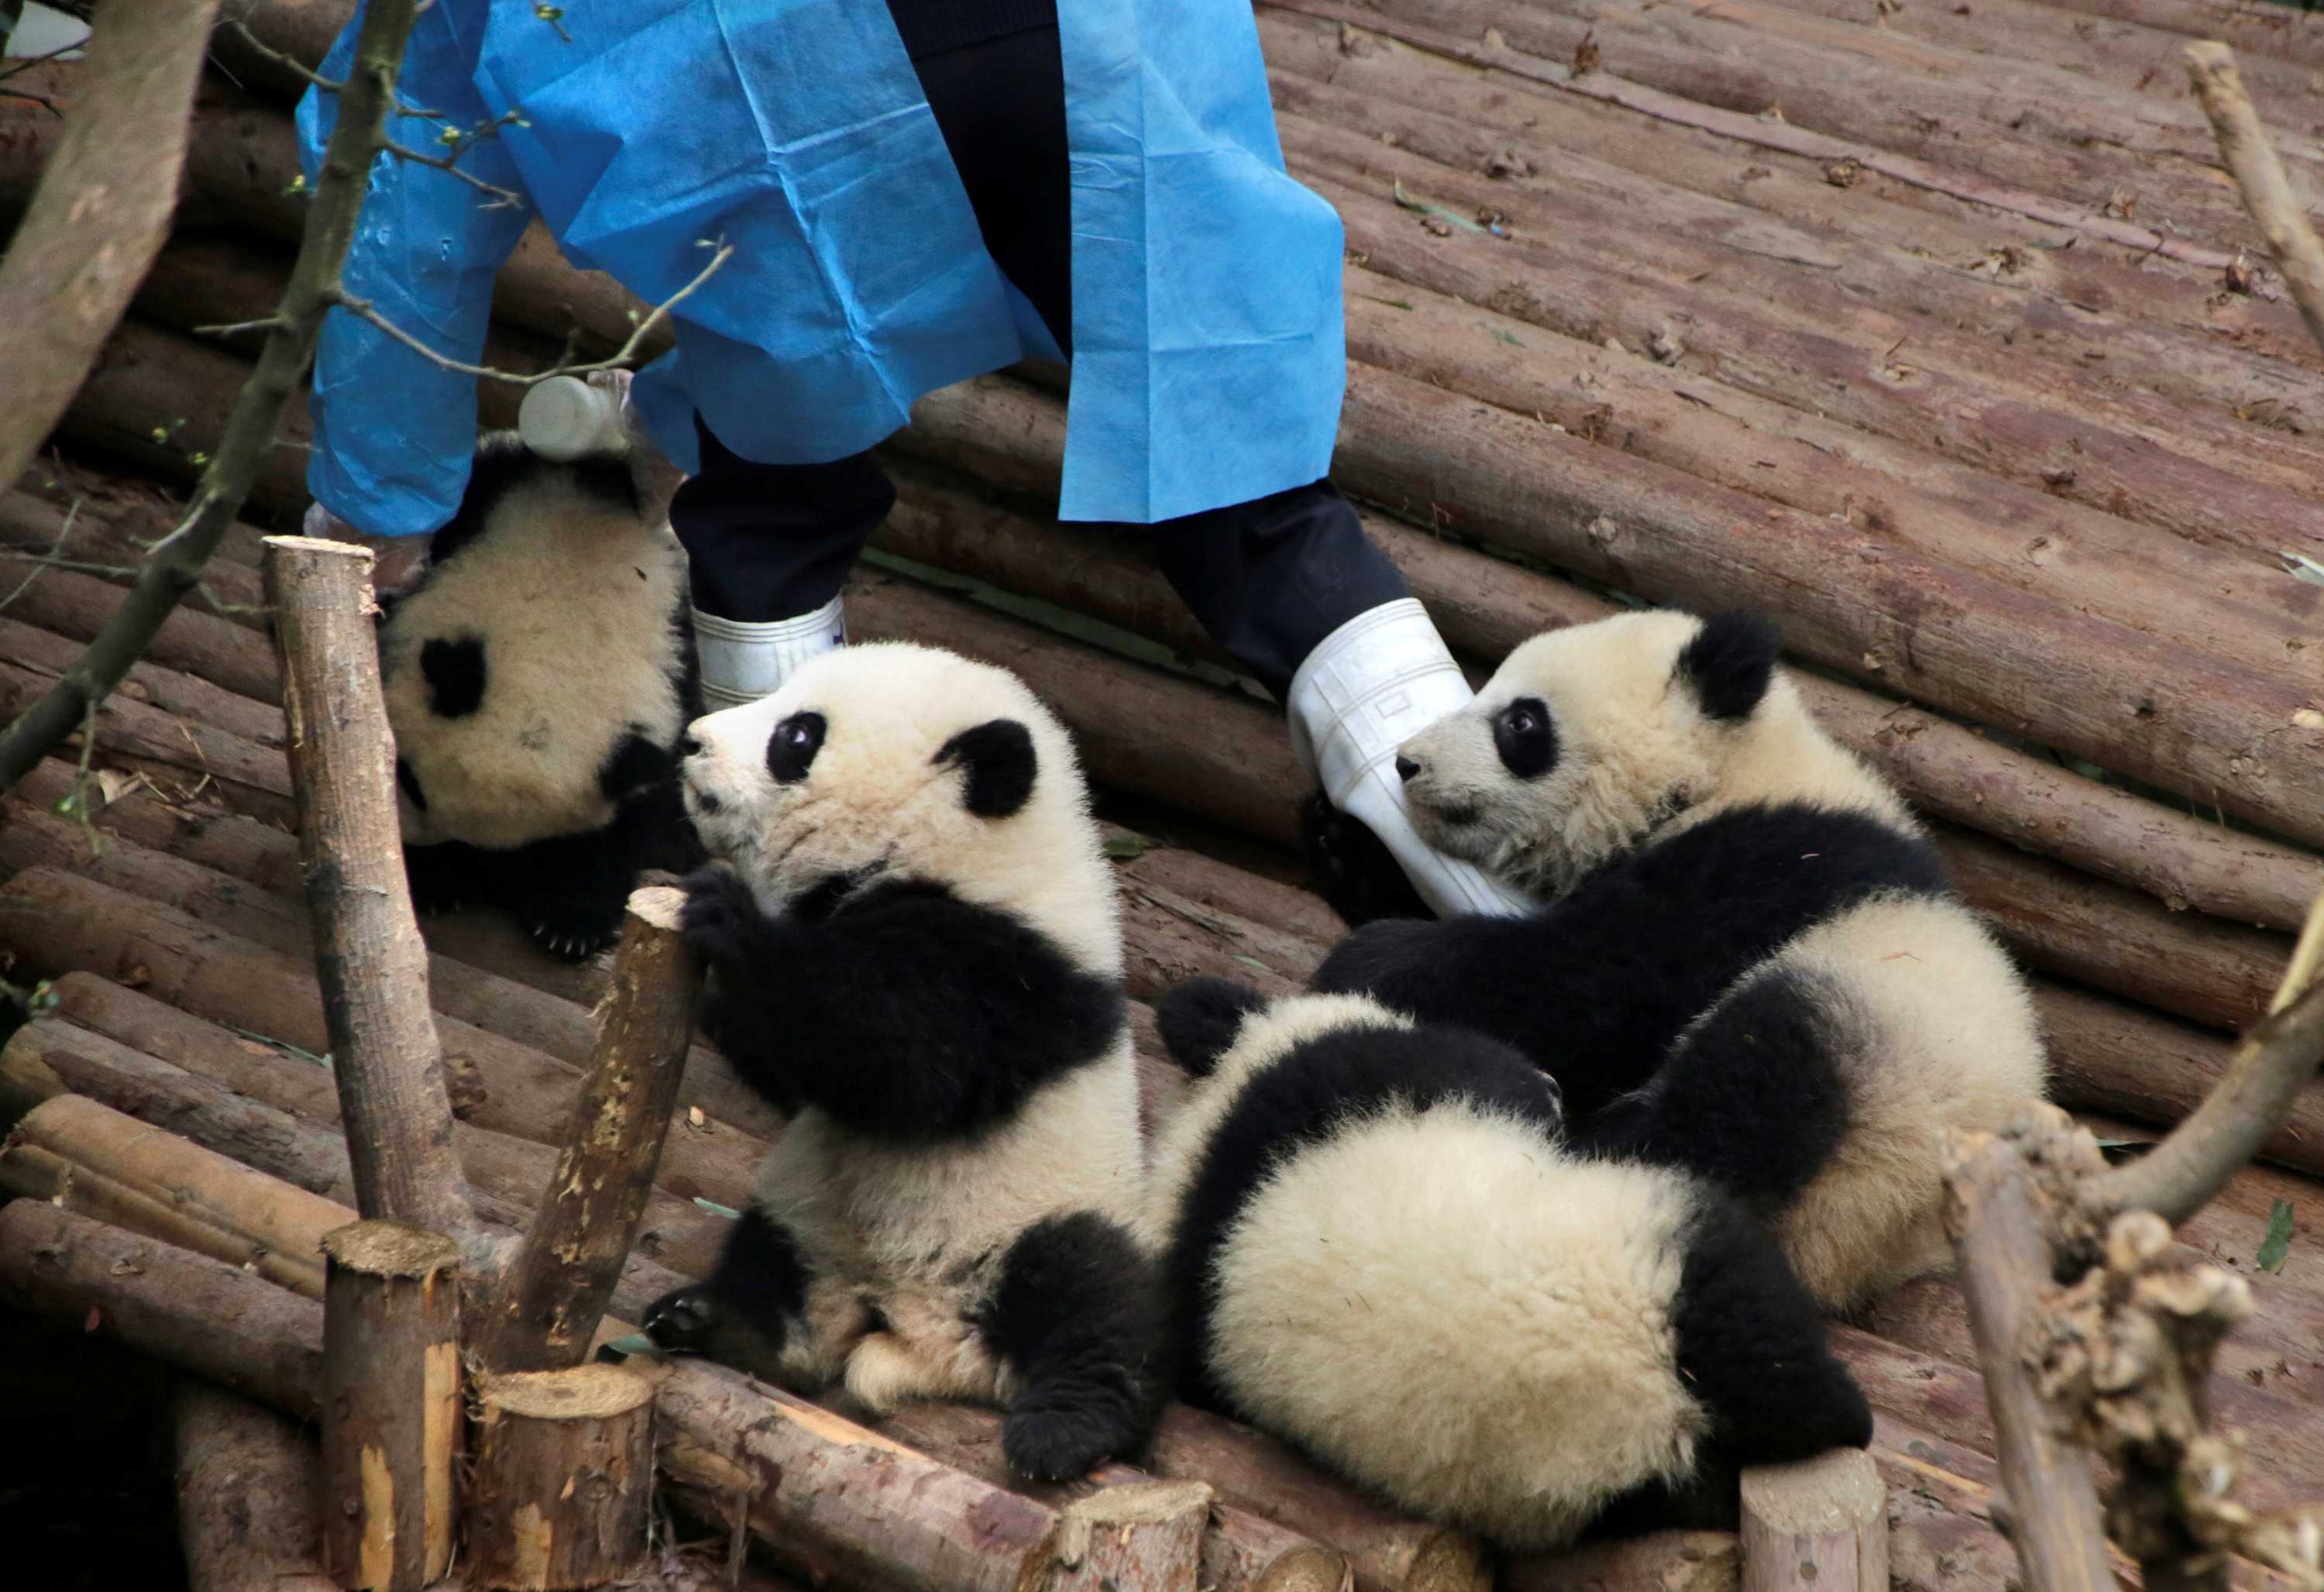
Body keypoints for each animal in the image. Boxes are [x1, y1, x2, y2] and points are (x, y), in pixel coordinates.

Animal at [375, 434, 700, 960]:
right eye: (410, 781)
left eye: (529, 845)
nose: (419, 842)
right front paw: (436, 884)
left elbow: (632, 818)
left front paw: (570, 922)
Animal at [640, 641, 1166, 1481]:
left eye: (796, 736)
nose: (693, 741)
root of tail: (925, 1344)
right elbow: (807, 1075)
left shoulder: (1004, 971)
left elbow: (905, 1063)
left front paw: (727, 917)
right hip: (807, 1217)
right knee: (773, 1274)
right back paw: (711, 1321)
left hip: (1043, 1210)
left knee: (1097, 1299)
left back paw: (1066, 1429)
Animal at [1144, 977, 1872, 1551]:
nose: (1555, 1085)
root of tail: (1657, 1390)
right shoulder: (1373, 1071)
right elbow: (1482, 1067)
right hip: (1666, 1256)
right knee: (1767, 1333)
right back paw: (1847, 1411)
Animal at [1303, 608, 2048, 1310]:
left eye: (1522, 721)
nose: (1409, 763)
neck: (1730, 768)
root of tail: (1880, 1255)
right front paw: (1340, 841)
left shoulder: (1764, 863)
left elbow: (1601, 976)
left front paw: (1374, 957)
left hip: (1882, 1060)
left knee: (1751, 1086)